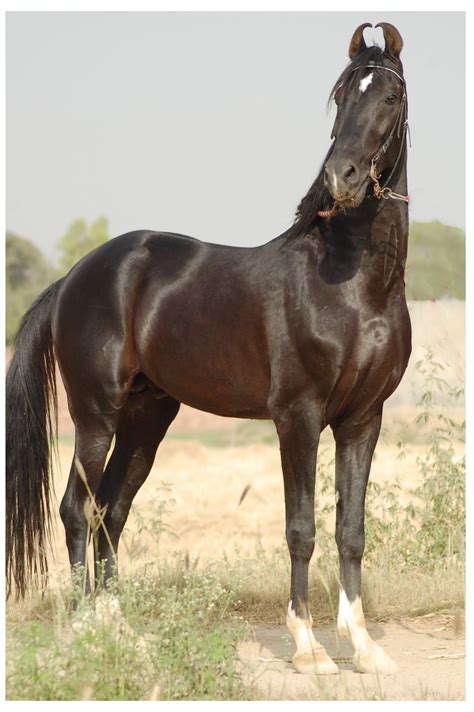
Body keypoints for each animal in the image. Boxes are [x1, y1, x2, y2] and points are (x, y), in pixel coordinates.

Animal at [6, 21, 411, 675]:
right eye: (339, 97)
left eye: (390, 97)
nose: (342, 178)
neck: (353, 286)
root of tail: (74, 277)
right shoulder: (298, 417)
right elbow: (301, 527)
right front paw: (307, 649)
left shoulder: (362, 420)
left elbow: (351, 531)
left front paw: (363, 647)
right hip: (94, 415)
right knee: (74, 509)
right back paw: (83, 629)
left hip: (147, 417)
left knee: (110, 511)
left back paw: (118, 631)